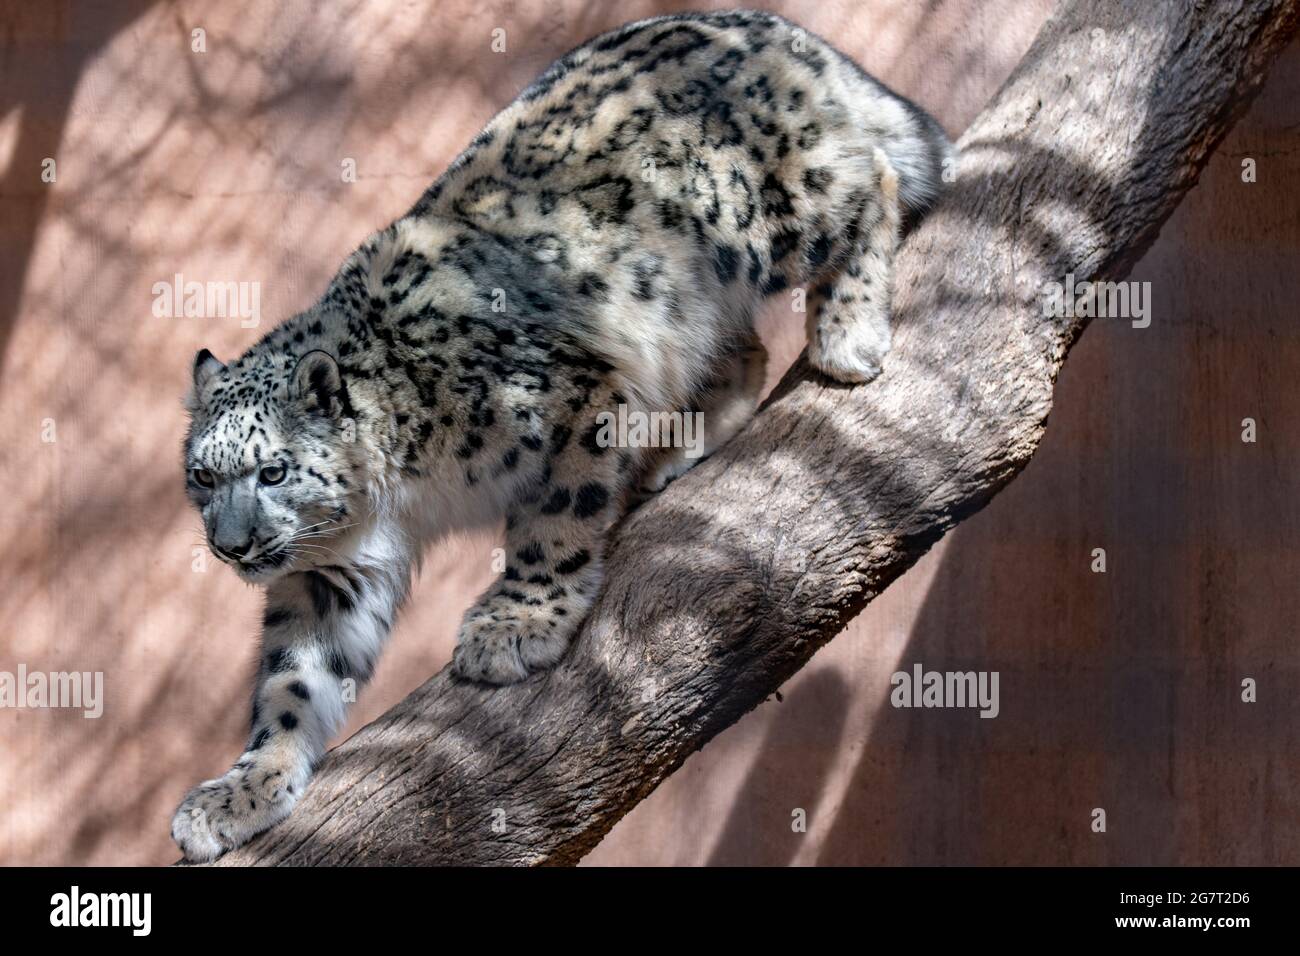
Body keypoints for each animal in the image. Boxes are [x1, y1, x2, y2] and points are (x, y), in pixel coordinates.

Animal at [170, 9, 953, 862]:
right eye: (203, 478)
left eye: (274, 471)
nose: (230, 546)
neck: (397, 497)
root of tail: (776, 28)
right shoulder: (330, 572)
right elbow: (293, 676)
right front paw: (239, 791)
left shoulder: (574, 396)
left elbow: (552, 523)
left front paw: (515, 623)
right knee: (743, 348)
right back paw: (673, 450)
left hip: (753, 217)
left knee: (866, 181)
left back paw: (847, 332)